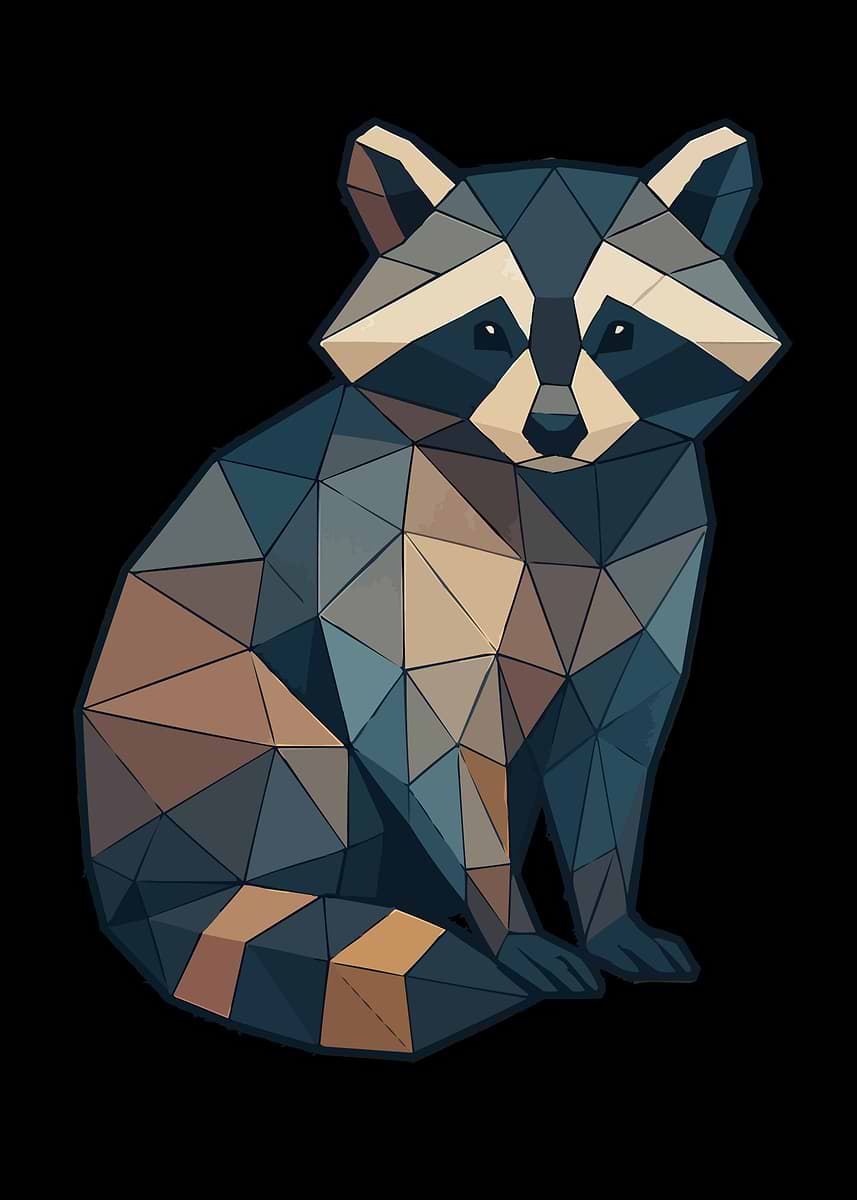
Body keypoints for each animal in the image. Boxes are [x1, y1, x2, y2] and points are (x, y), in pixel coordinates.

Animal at [78, 121, 785, 1059]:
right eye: (488, 329)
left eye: (619, 331)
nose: (553, 427)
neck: (560, 499)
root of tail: (130, 878)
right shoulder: (386, 551)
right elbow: (434, 749)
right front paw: (511, 927)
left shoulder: (651, 561)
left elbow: (610, 753)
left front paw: (608, 919)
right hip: (217, 734)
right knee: (306, 767)